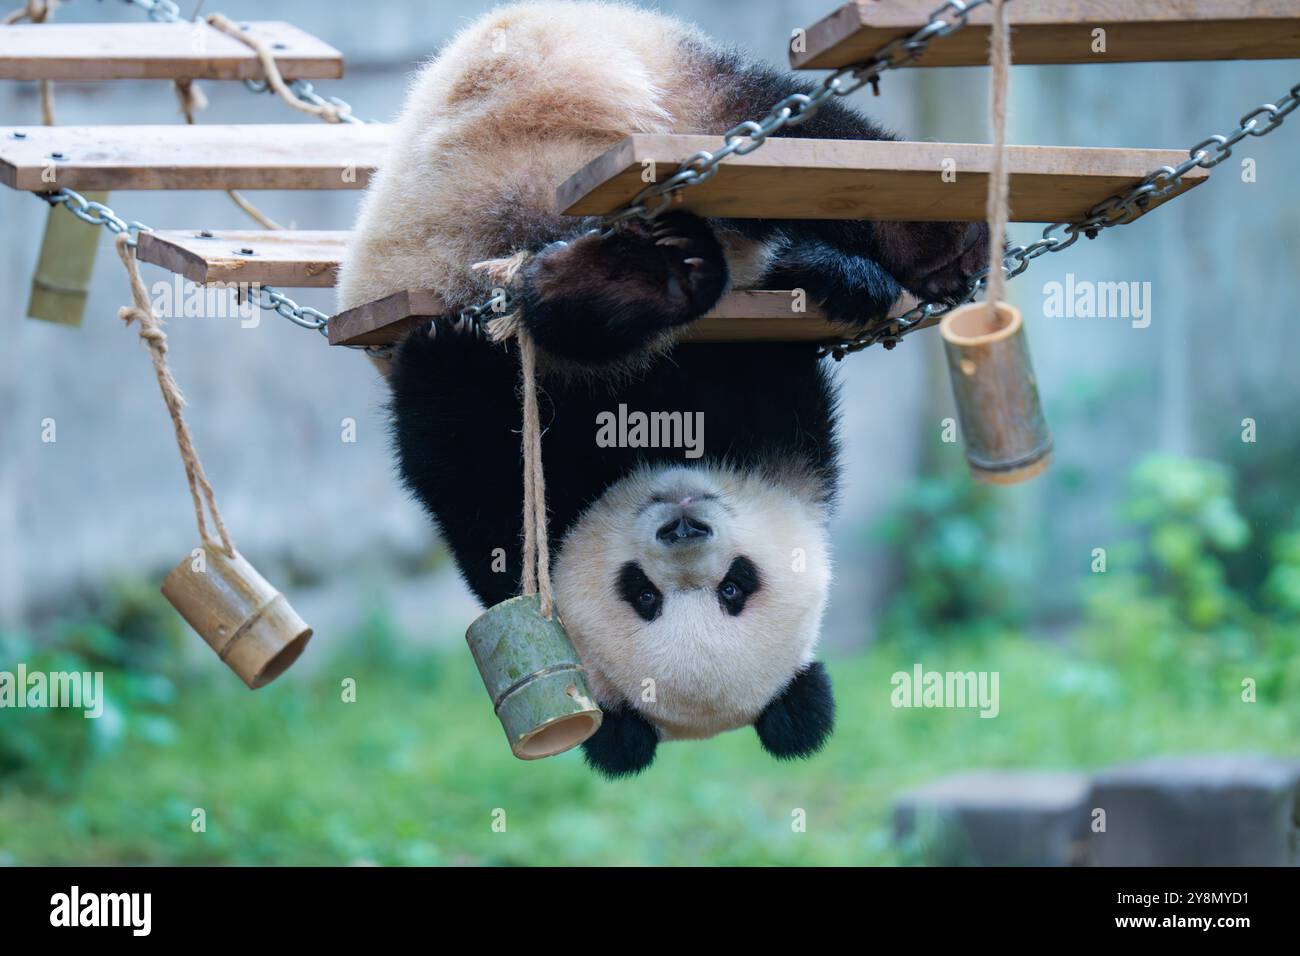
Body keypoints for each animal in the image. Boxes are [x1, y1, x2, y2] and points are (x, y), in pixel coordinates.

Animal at [338, 0, 988, 777]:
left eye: (736, 586)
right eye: (642, 594)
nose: (682, 524)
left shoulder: (776, 434)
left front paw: (842, 280)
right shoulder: (526, 536)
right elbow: (462, 458)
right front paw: (451, 347)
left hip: (632, 80)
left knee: (779, 131)